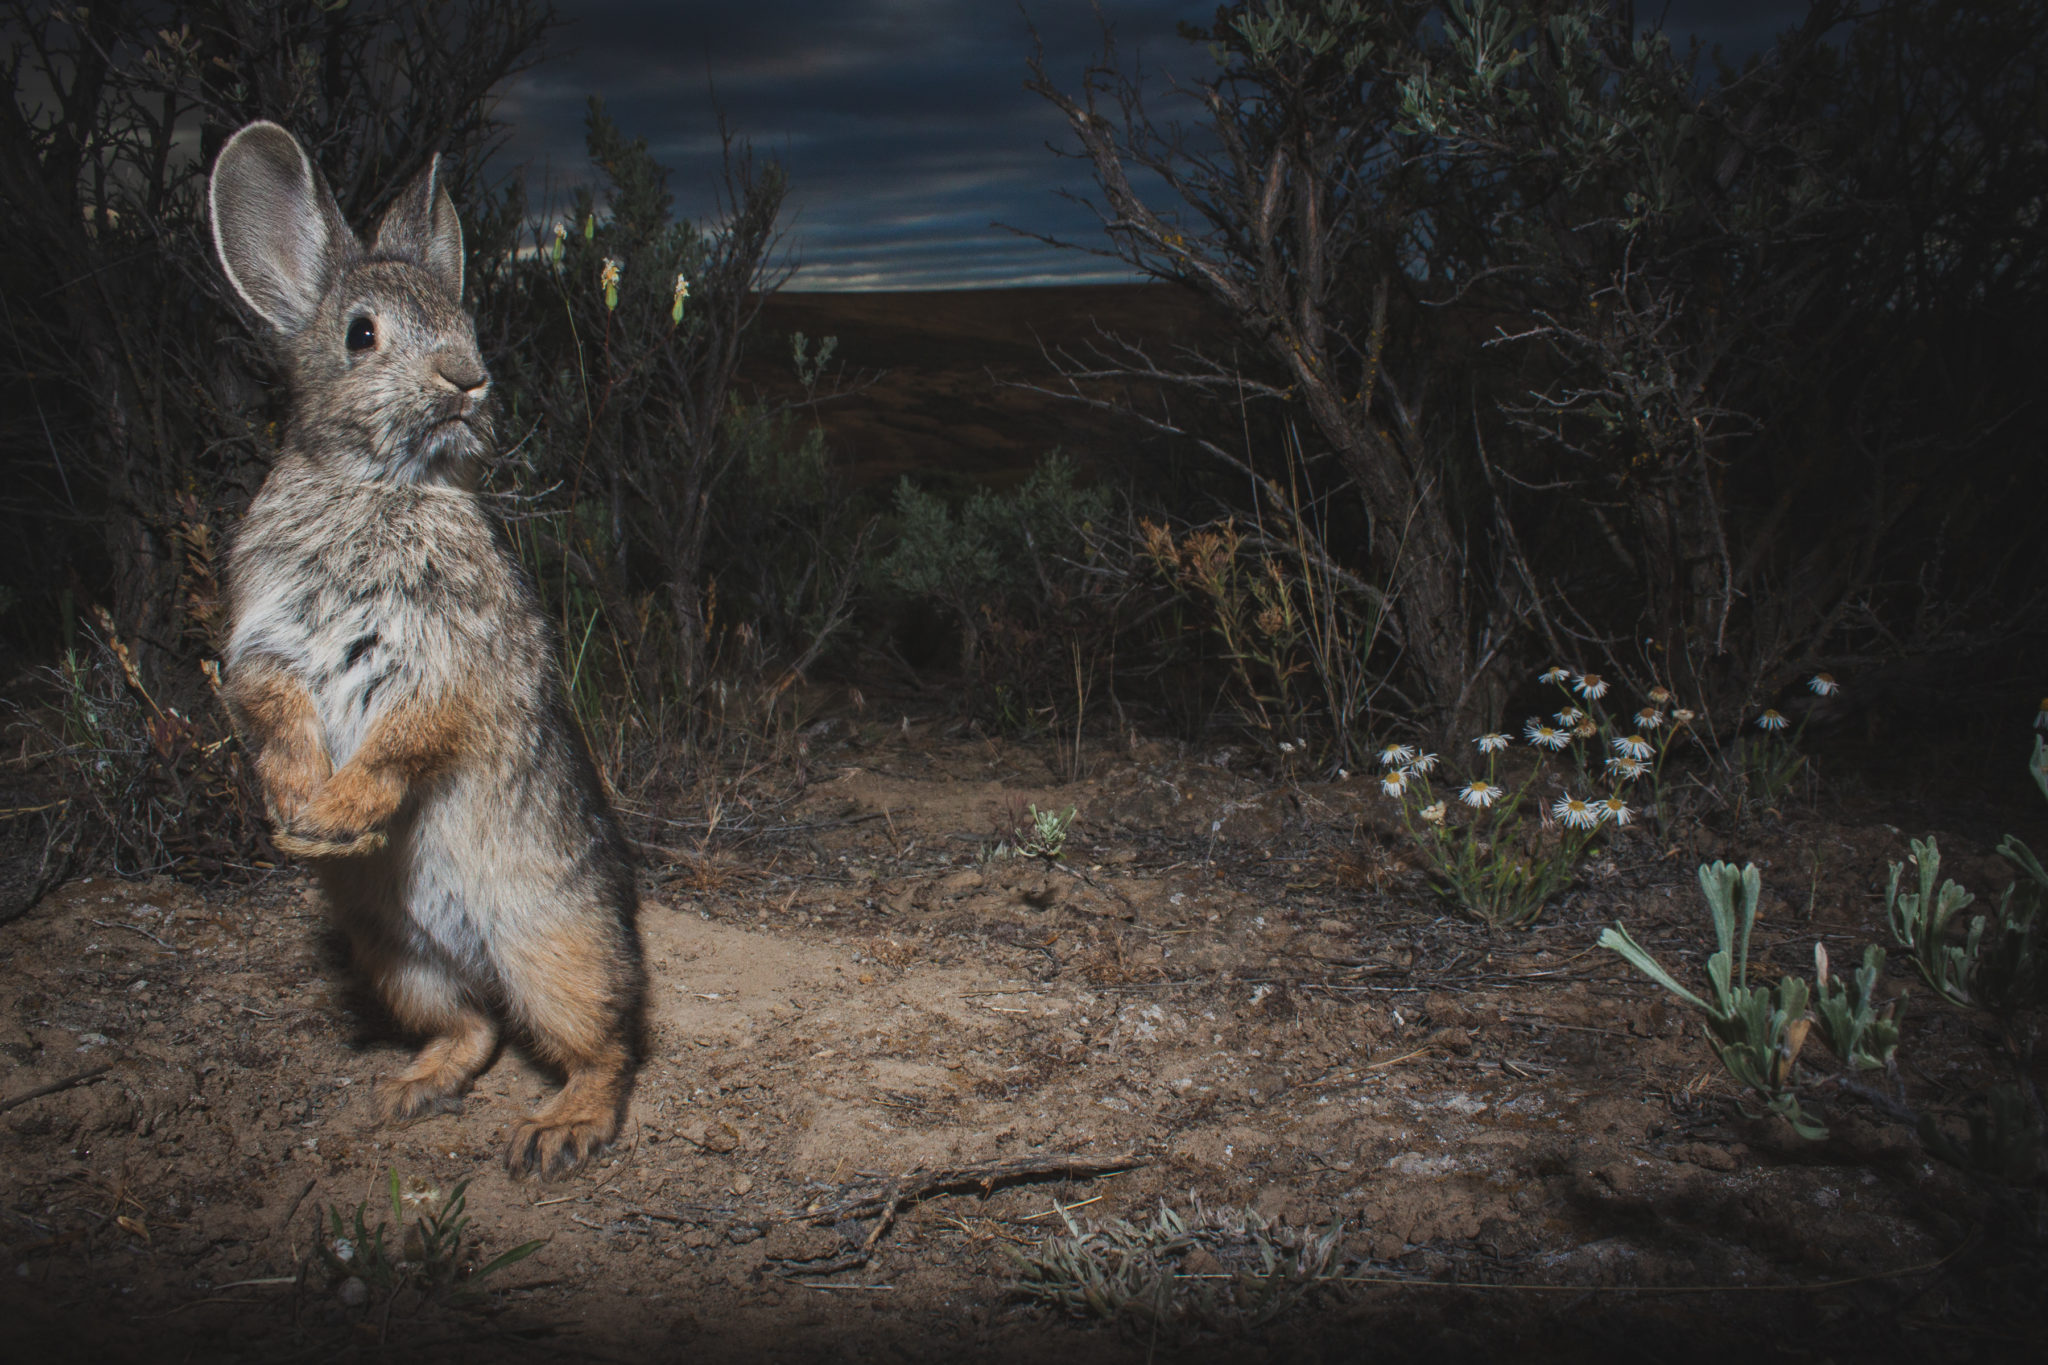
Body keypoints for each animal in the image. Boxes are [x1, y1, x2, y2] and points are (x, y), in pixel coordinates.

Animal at [208, 121, 644, 1179]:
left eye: (465, 322)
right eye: (360, 334)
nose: (468, 378)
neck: (382, 486)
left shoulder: (447, 664)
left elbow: (406, 737)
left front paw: (338, 815)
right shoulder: (264, 648)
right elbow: (276, 717)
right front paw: (304, 818)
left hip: (554, 945)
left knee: (602, 1047)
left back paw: (557, 1131)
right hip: (393, 955)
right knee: (472, 1030)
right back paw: (410, 1090)